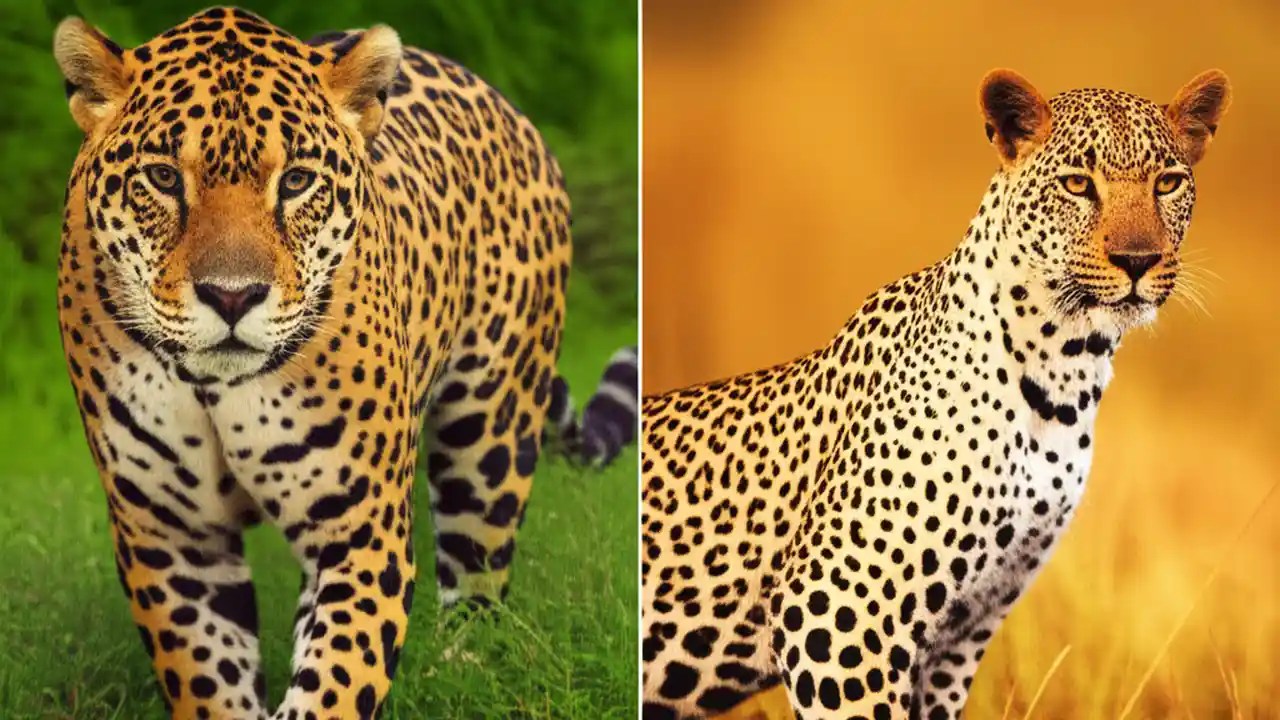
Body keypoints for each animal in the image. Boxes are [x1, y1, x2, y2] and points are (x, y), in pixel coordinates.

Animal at [52, 7, 635, 719]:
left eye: (297, 181)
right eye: (162, 178)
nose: (231, 296)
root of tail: (504, 102)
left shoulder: (359, 531)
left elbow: (335, 685)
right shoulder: (173, 542)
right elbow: (212, 685)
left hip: (489, 447)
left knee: (479, 583)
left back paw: (464, 669)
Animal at [640, 68, 1230, 720]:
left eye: (1168, 182)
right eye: (1078, 184)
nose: (1137, 260)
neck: (1064, 377)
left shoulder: (959, 638)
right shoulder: (834, 613)